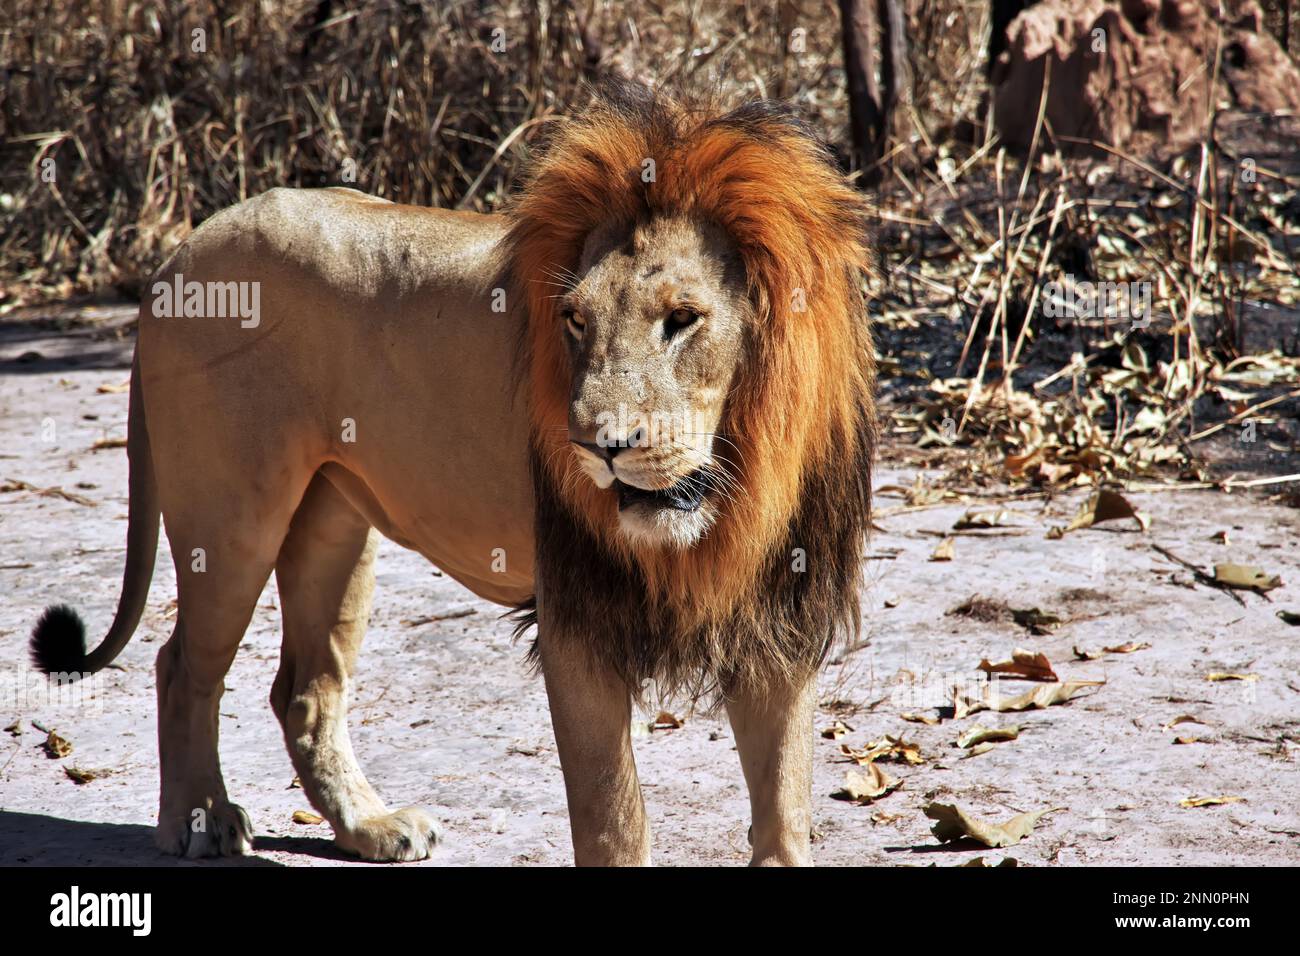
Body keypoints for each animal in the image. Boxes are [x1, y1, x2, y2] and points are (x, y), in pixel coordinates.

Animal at [30, 79, 876, 866]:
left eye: (683, 319)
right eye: (574, 320)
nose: (597, 447)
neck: (736, 484)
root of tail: (179, 252)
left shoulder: (780, 620)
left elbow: (784, 815)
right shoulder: (576, 618)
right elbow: (613, 821)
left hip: (335, 524)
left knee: (305, 687)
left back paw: (369, 827)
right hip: (232, 516)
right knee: (182, 667)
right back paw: (200, 820)